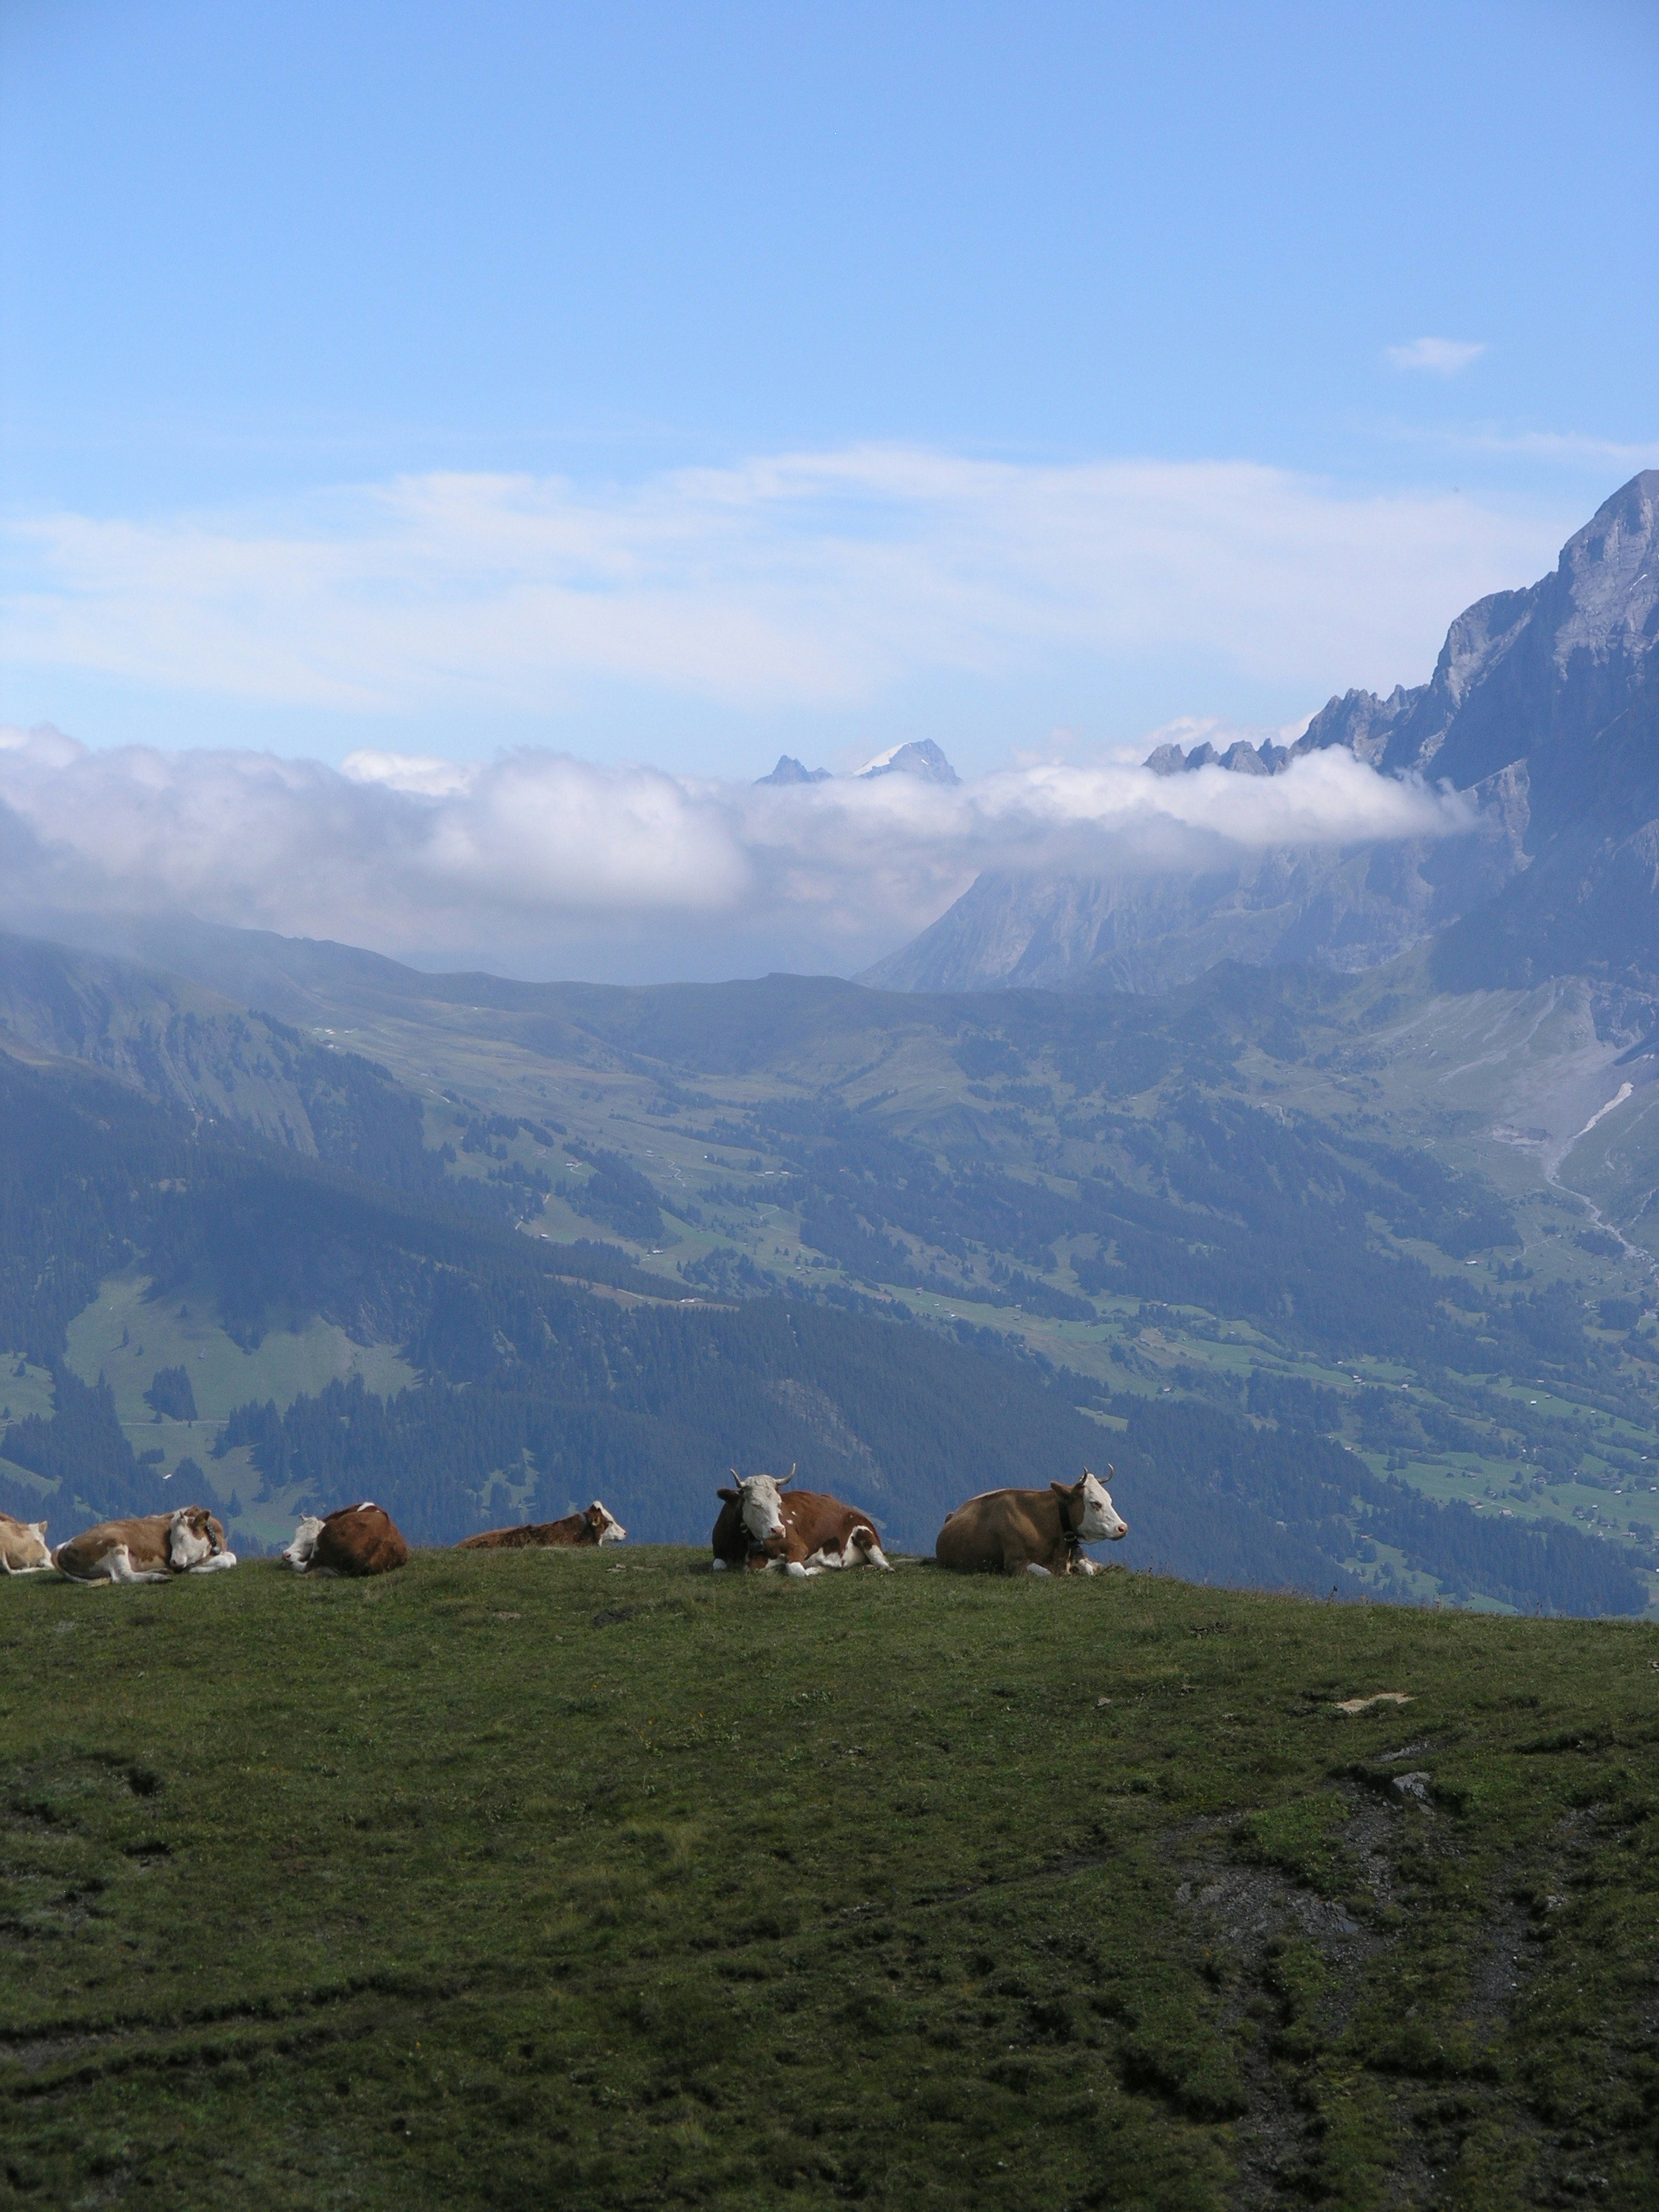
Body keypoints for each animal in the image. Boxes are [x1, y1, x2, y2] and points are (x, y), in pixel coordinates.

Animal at [54, 1506, 236, 1586]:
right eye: (171, 1538)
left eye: (182, 1536)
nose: (173, 1563)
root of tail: (64, 1546)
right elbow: (227, 1560)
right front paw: (194, 1569)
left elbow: (231, 1558)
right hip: (115, 1543)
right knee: (123, 1576)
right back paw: (158, 1577)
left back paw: (161, 1571)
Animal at [711, 1468, 892, 1579]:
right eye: (756, 1504)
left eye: (779, 1503)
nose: (778, 1530)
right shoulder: (719, 1554)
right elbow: (719, 1566)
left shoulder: (797, 1547)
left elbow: (797, 1571)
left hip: (865, 1532)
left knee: (882, 1562)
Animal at [934, 1468, 1127, 1578]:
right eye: (1095, 1503)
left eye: (1110, 1500)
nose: (1122, 1528)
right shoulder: (1015, 1563)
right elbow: (1048, 1574)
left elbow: (1090, 1569)